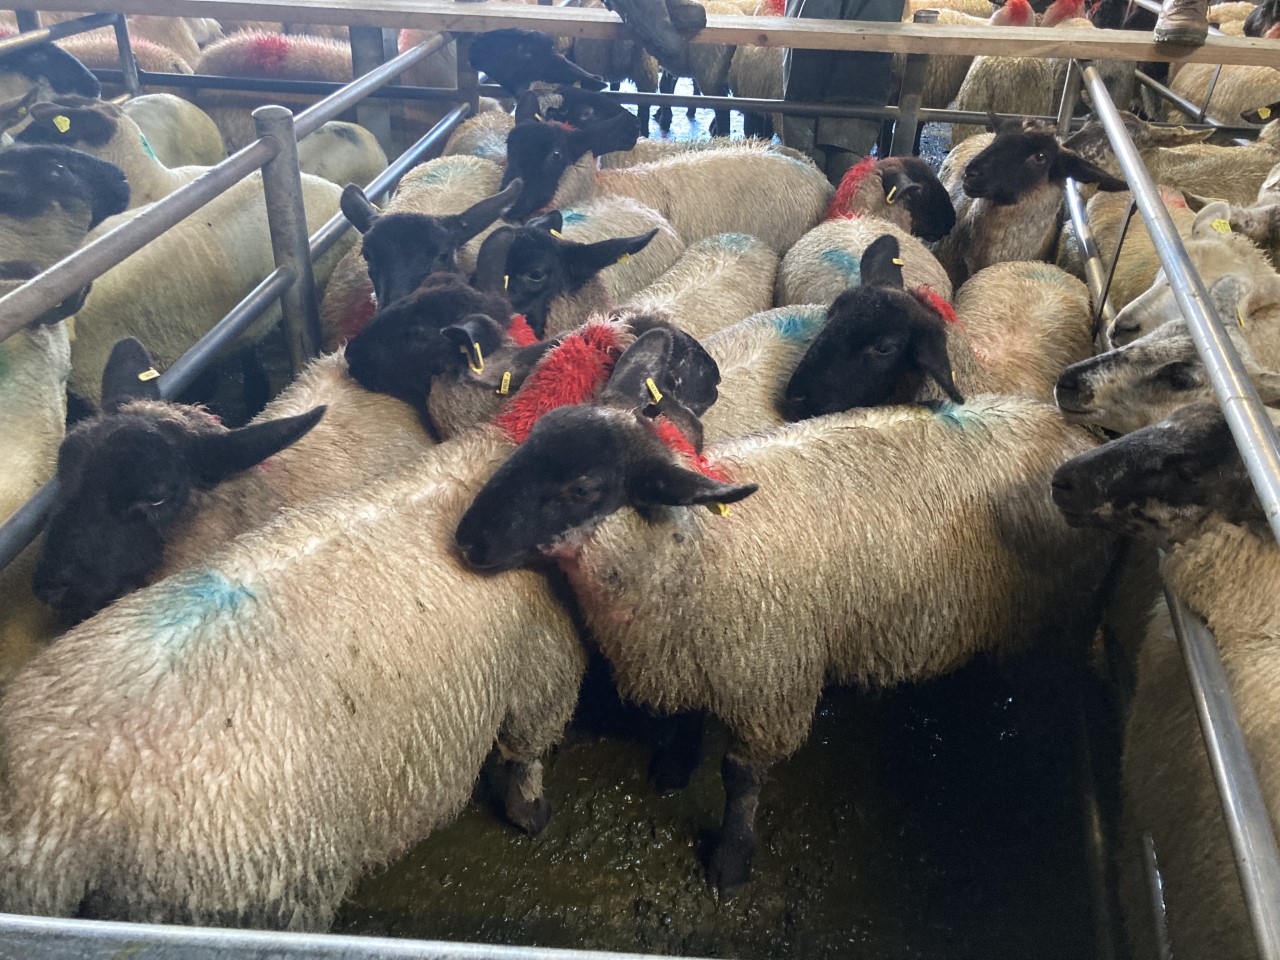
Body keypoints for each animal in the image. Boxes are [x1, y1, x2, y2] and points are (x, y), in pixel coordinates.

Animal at [455, 387, 1115, 898]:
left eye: (581, 488)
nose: (465, 541)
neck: (694, 552)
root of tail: (1072, 429)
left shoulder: (769, 677)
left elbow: (741, 778)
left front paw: (731, 861)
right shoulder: (691, 650)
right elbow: (685, 721)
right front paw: (673, 765)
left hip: (1053, 614)